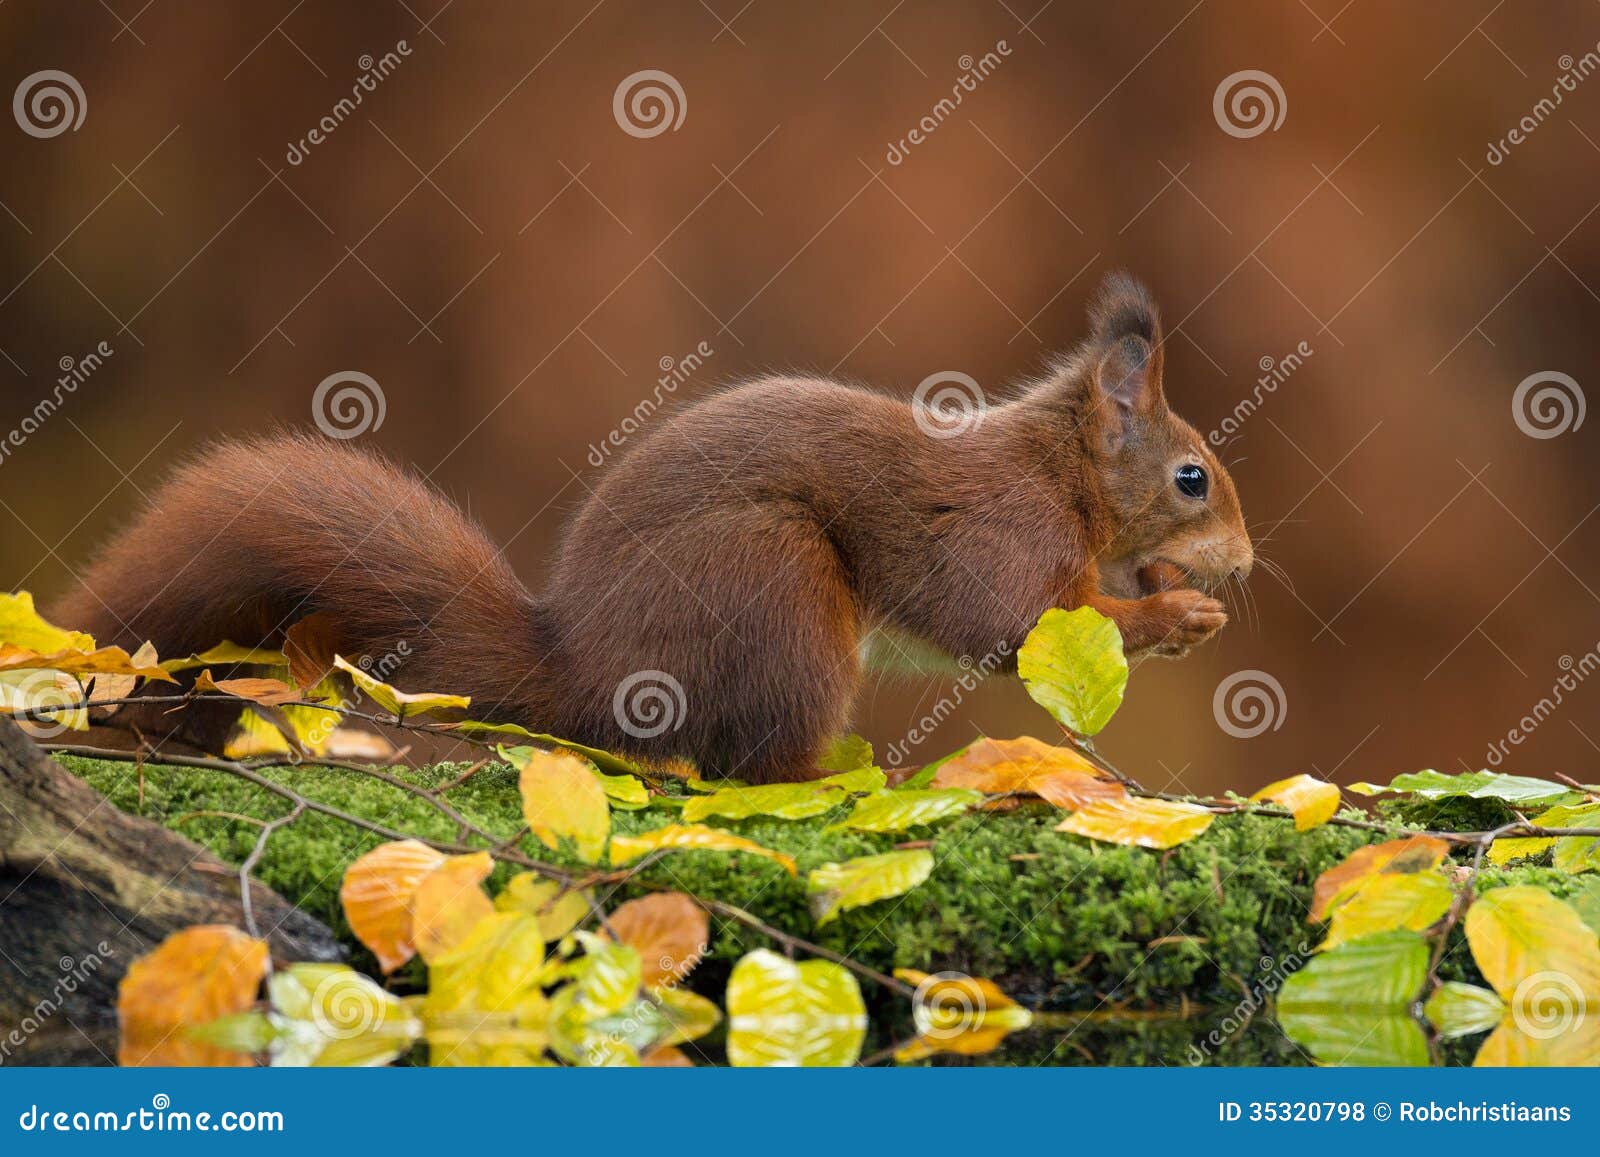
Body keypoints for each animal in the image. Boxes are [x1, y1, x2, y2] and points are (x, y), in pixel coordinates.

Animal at [51, 272, 1252, 783]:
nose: (1246, 560)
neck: (1059, 471)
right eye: (1193, 477)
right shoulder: (999, 532)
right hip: (774, 588)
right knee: (751, 763)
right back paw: (835, 776)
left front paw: (1177, 602)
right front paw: (1182, 613)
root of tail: (586, 670)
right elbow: (1015, 626)